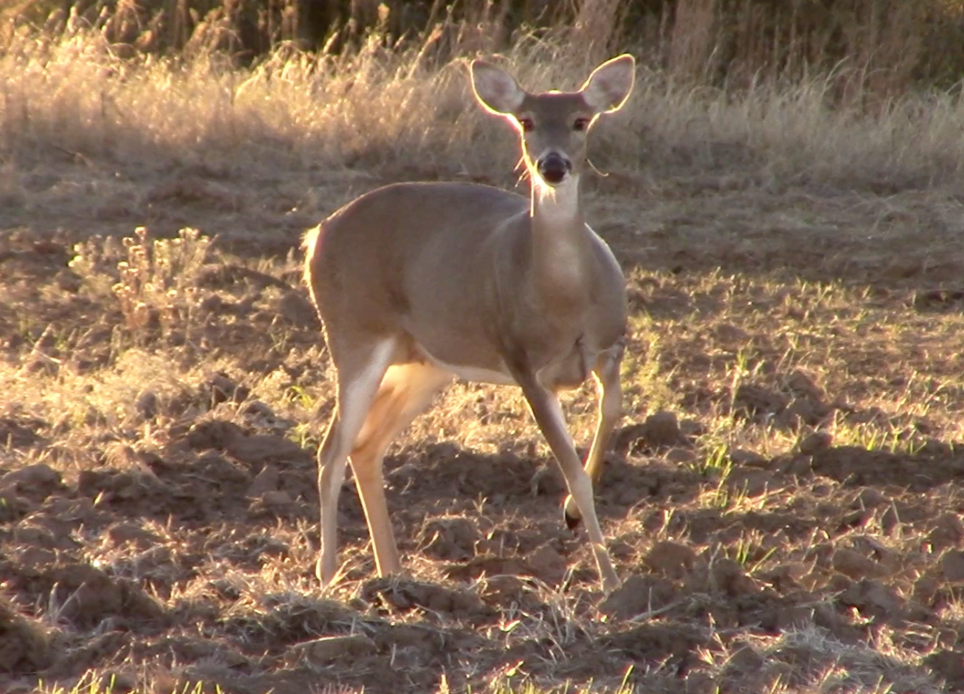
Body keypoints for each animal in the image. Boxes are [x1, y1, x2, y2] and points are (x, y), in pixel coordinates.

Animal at [303, 54, 635, 592]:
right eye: (527, 122)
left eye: (581, 121)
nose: (553, 166)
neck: (566, 298)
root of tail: (315, 236)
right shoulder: (524, 364)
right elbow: (573, 472)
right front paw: (609, 580)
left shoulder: (611, 349)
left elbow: (611, 415)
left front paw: (571, 517)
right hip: (355, 334)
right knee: (331, 451)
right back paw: (329, 574)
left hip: (424, 363)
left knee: (365, 446)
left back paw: (392, 573)